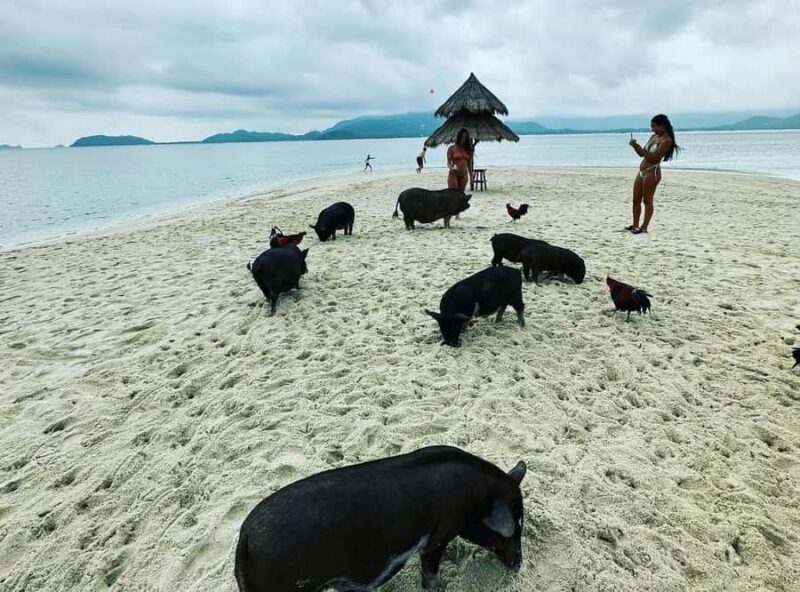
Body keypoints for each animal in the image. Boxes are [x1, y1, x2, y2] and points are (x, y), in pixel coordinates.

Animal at [235, 445, 527, 592]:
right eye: (511, 531)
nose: (518, 566)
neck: (476, 499)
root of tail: (245, 540)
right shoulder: (438, 535)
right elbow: (430, 568)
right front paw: (438, 587)